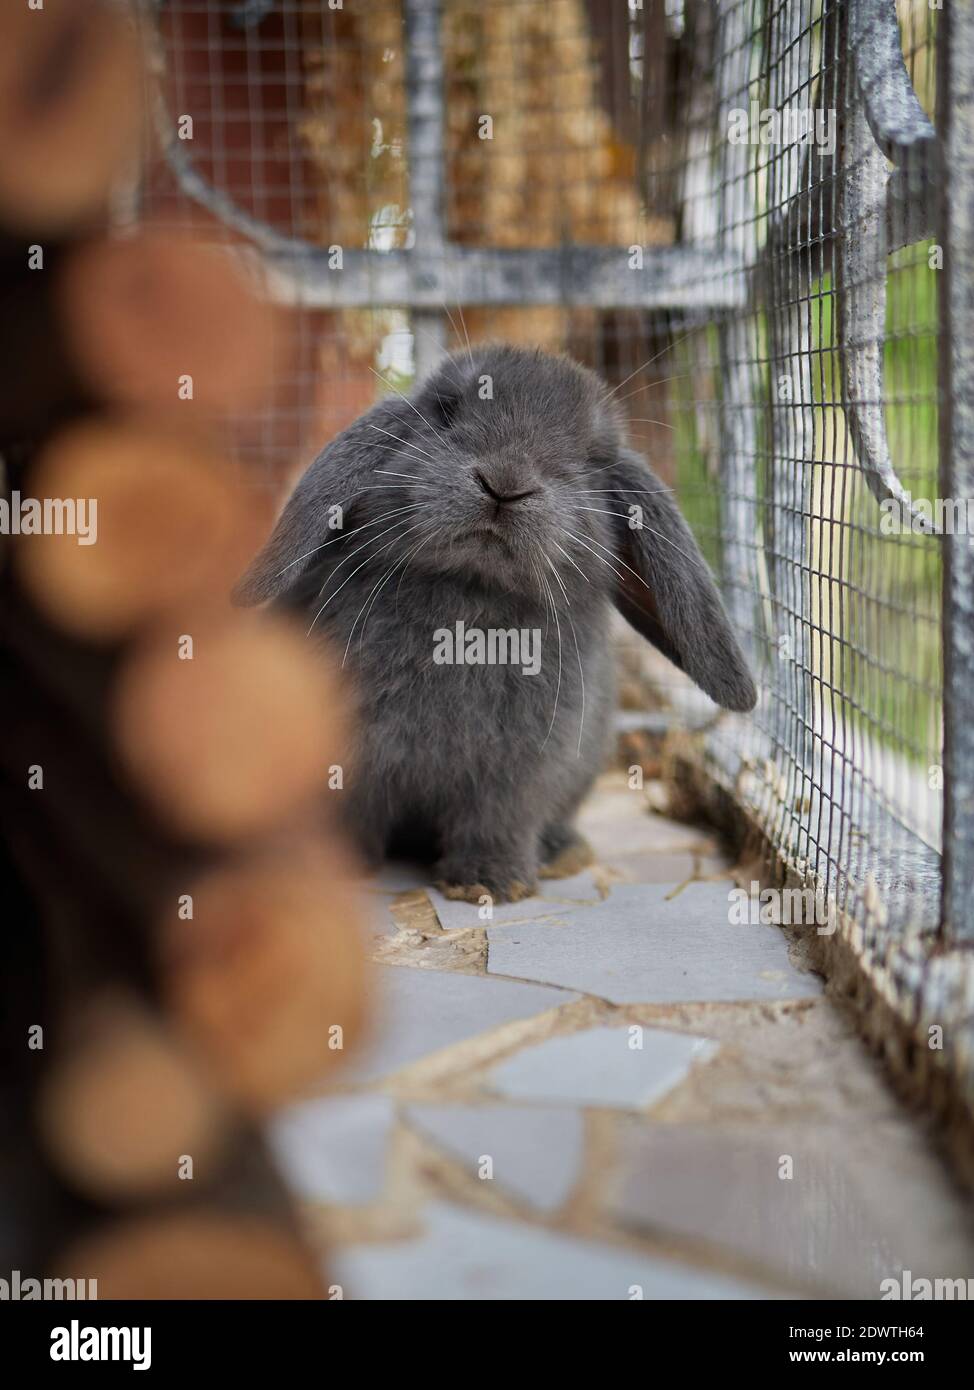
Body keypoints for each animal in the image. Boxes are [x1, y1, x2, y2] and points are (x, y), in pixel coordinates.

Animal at [234, 344, 757, 903]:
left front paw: (489, 882)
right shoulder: (350, 759)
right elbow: (351, 811)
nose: (505, 483)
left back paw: (563, 853)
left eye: (592, 458)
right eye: (444, 412)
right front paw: (337, 867)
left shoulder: (520, 773)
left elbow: (497, 819)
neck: (470, 599)